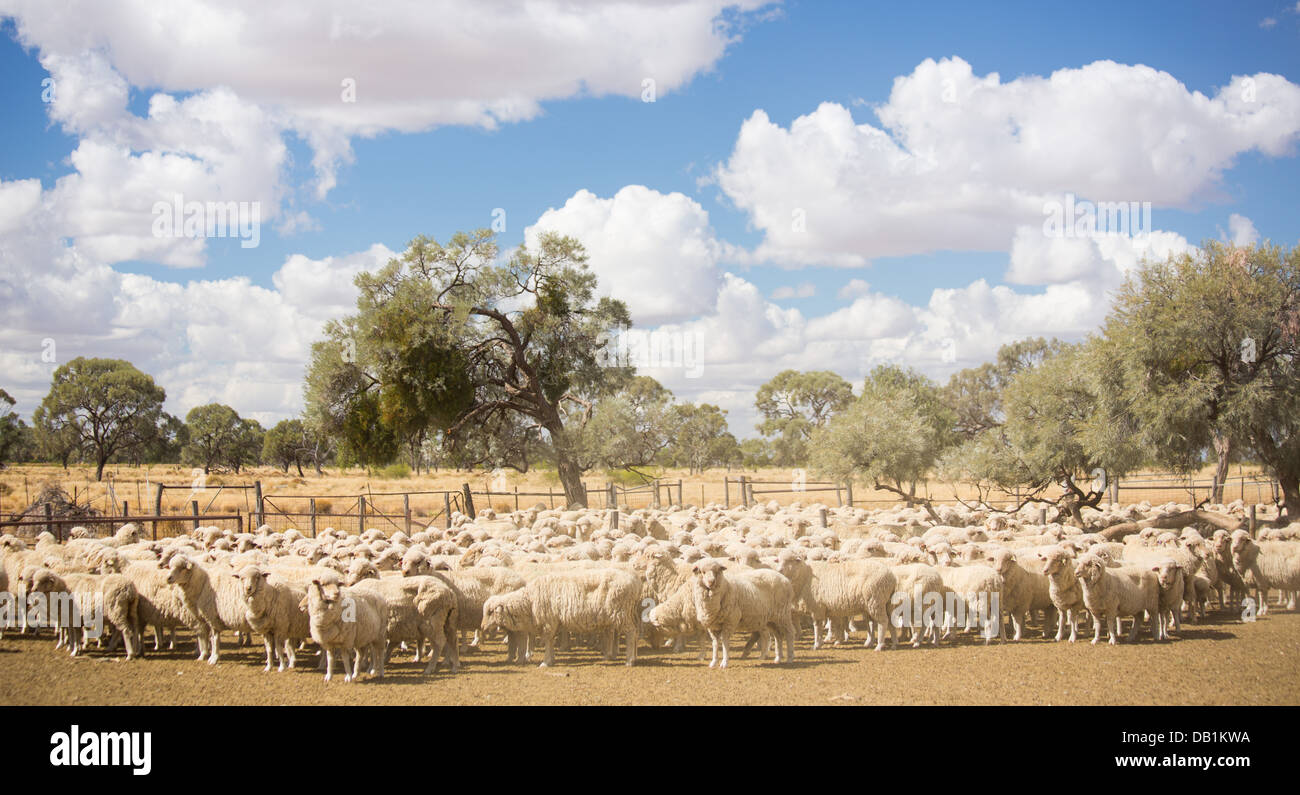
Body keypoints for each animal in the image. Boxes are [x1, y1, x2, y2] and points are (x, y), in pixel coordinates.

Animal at [481, 567, 641, 667]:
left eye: (490, 612)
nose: (482, 626)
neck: (528, 602)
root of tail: (634, 582)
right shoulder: (553, 623)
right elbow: (551, 641)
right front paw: (551, 659)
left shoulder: (548, 622)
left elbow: (547, 641)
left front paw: (545, 662)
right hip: (626, 613)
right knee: (632, 633)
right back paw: (626, 657)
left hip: (621, 612)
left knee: (631, 632)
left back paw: (629, 661)